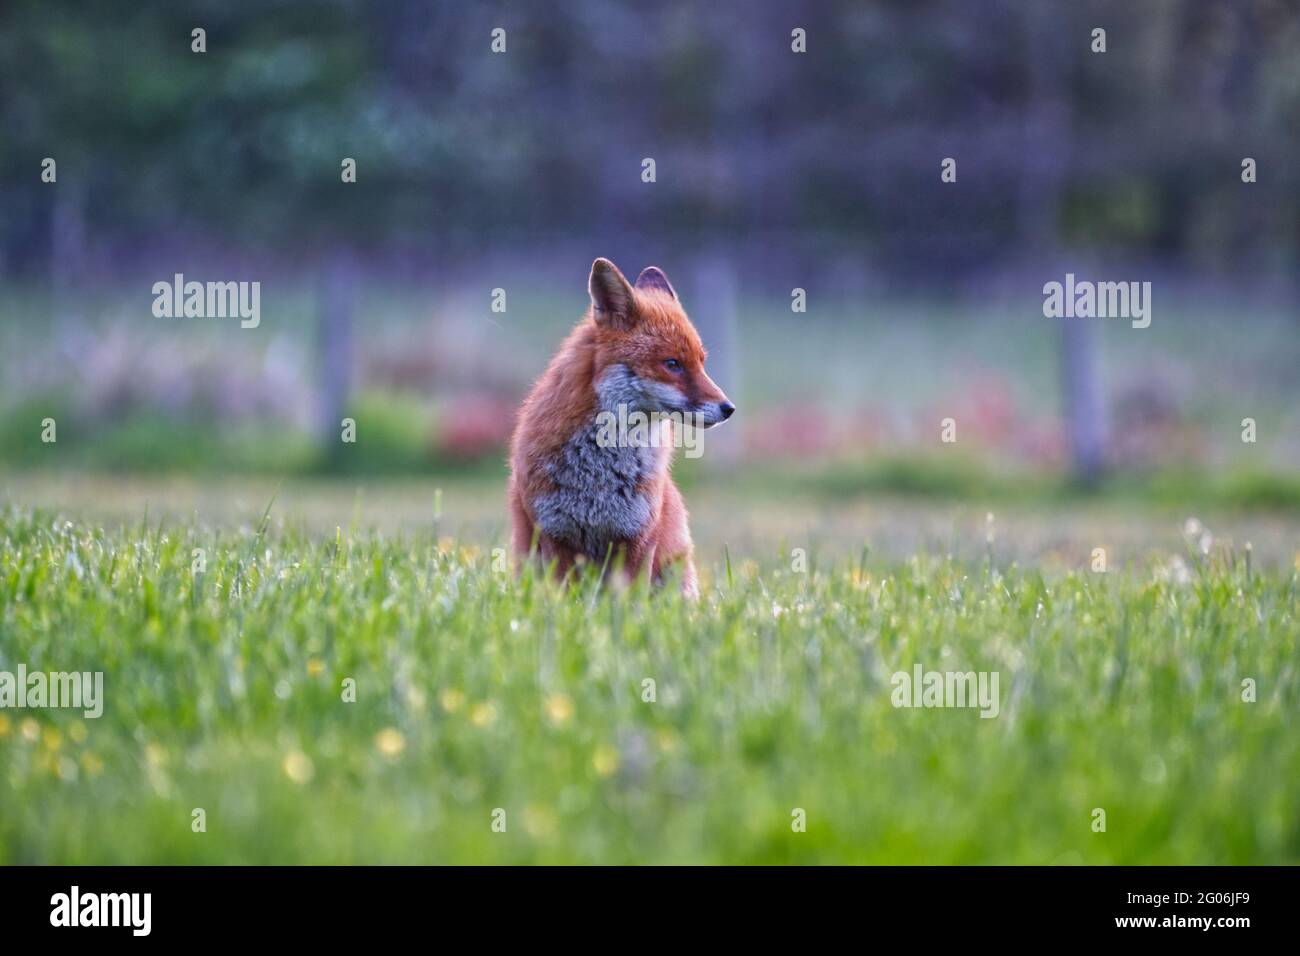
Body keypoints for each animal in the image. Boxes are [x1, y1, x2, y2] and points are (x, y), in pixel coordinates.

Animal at [508, 258, 735, 597]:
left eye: (701, 363)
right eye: (673, 364)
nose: (728, 408)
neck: (597, 472)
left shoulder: (637, 537)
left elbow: (628, 601)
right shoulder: (554, 536)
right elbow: (564, 599)